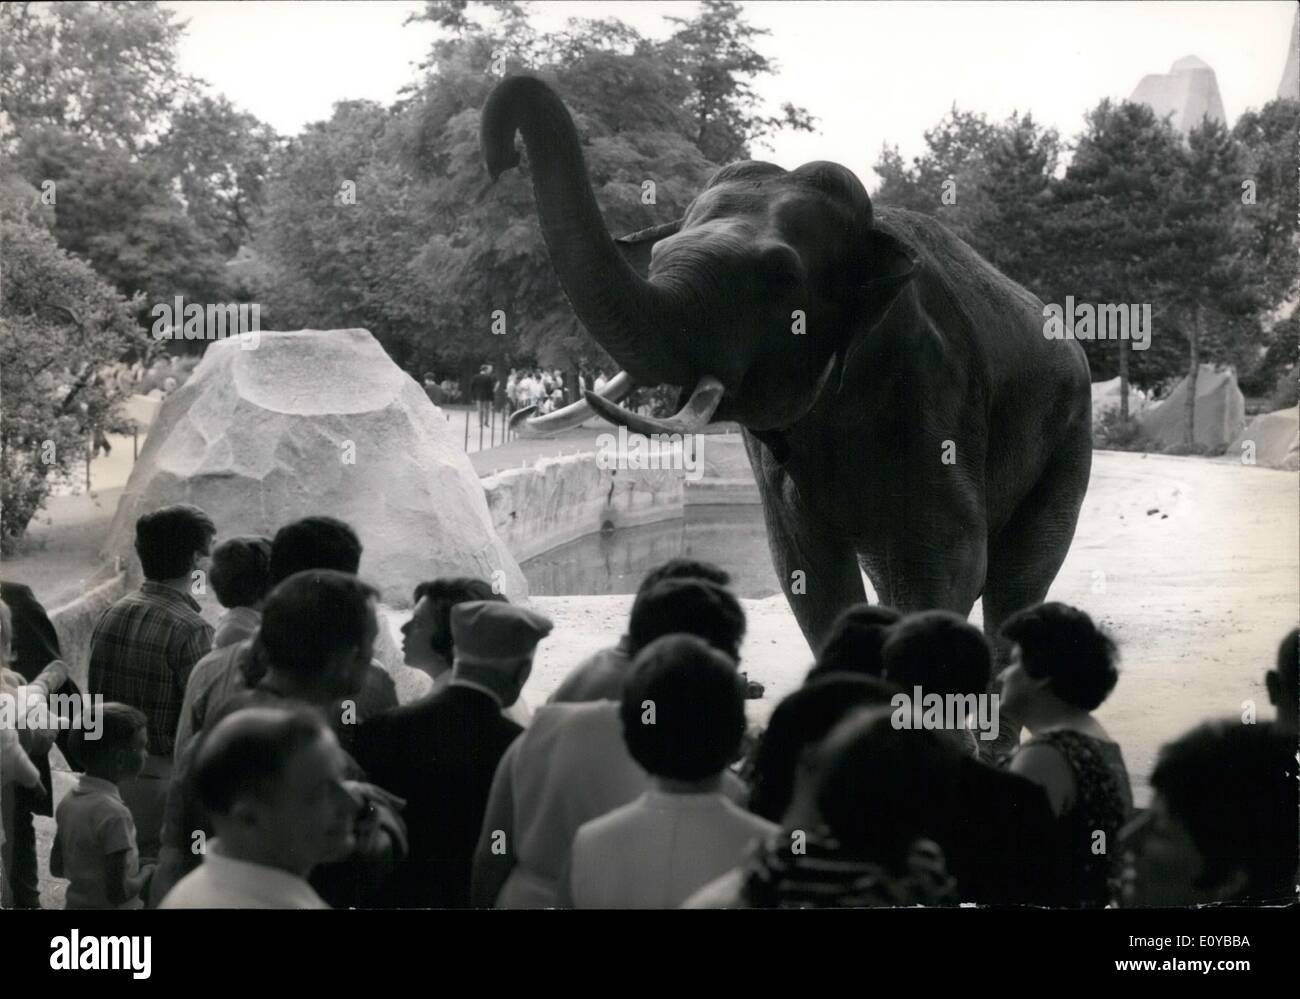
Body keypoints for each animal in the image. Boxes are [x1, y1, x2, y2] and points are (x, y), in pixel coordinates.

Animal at [480, 75, 1092, 688]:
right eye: (656, 254)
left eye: (780, 278)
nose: (501, 155)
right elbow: (805, 568)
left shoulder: (938, 387)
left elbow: (947, 559)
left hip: (1069, 434)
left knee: (1018, 575)